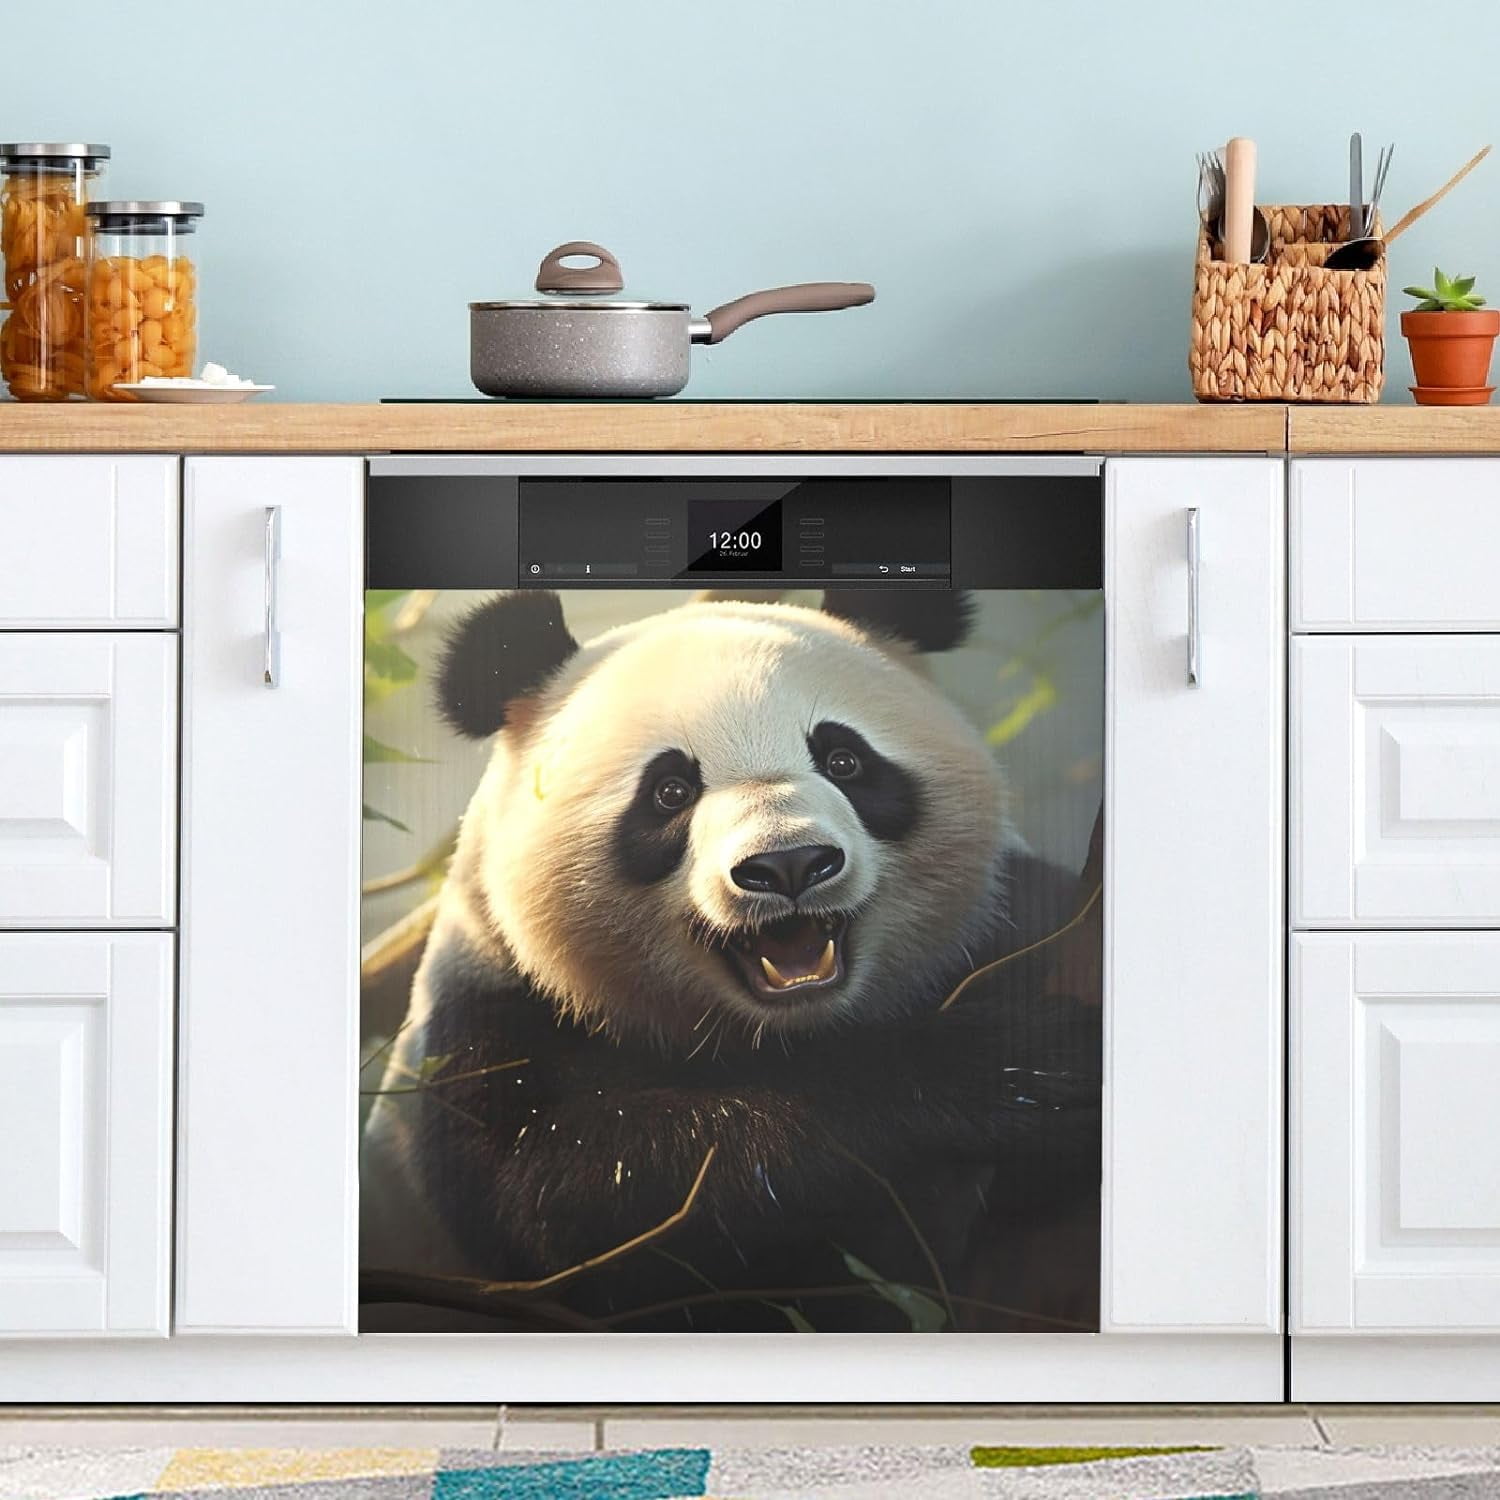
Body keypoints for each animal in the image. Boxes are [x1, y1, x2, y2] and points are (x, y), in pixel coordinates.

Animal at [360, 588, 1102, 1334]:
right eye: (670, 791)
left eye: (844, 760)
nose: (789, 863)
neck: (792, 1030)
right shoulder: (490, 1027)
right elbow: (578, 1198)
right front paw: (1002, 1069)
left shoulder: (1011, 921)